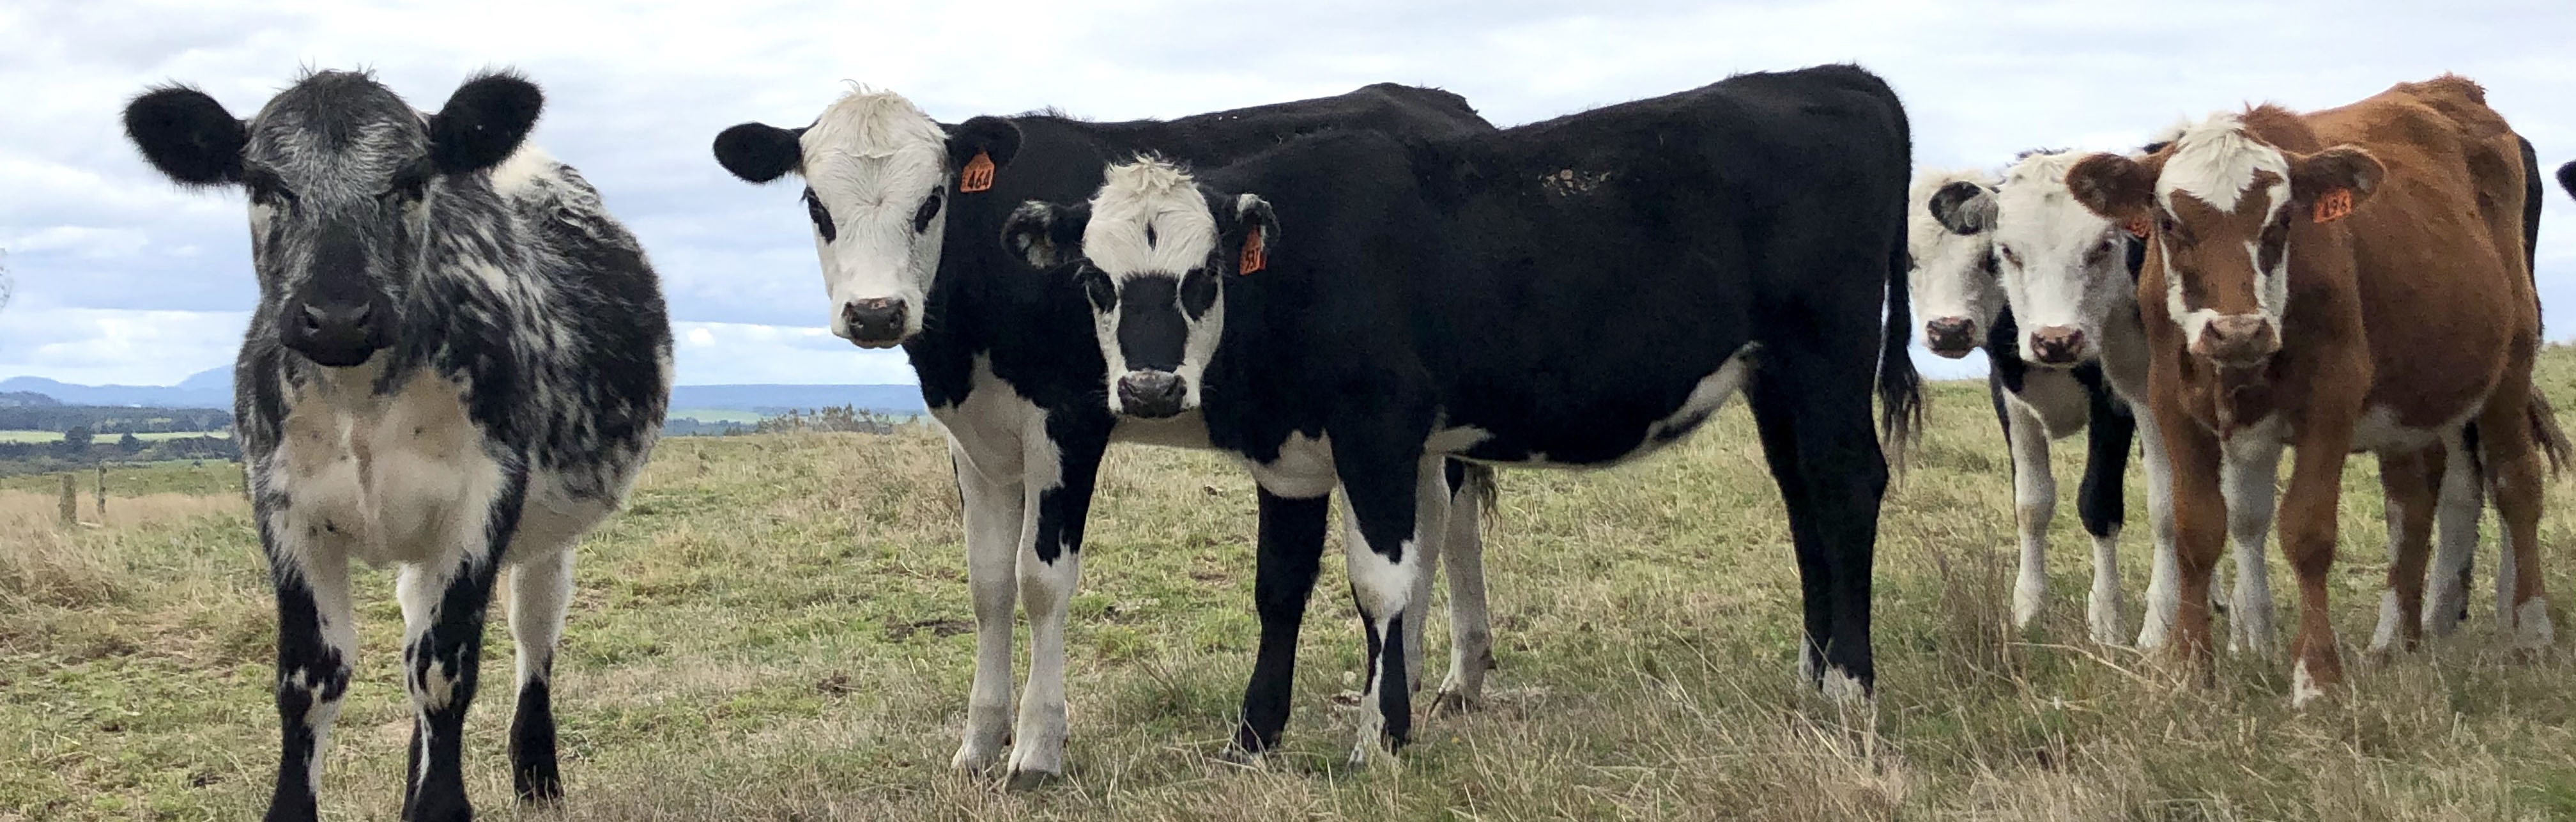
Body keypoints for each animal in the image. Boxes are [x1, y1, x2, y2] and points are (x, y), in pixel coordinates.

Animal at [121, 70, 671, 821]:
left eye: (410, 181)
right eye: (263, 184)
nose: (336, 316)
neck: (360, 401)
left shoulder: (480, 508)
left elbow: (443, 672)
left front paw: (439, 804)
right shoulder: (285, 511)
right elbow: (309, 679)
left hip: (545, 534)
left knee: (532, 631)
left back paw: (537, 775)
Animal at [708, 85, 1495, 787]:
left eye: (931, 200)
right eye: (818, 205)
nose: (875, 312)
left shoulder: (1069, 424)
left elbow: (1040, 581)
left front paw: (1035, 750)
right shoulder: (976, 445)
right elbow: (987, 585)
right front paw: (978, 744)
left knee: (1439, 521)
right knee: (1439, 517)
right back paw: (1432, 676)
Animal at [1004, 63, 1919, 763]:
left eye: (1203, 277)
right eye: (1096, 281)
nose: (1150, 389)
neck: (1311, 261)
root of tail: (1840, 78)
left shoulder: (1379, 429)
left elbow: (1380, 582)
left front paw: (1379, 740)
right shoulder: (1291, 455)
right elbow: (1278, 588)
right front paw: (1252, 738)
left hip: (1828, 354)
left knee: (1845, 486)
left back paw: (1850, 686)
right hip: (1779, 377)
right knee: (1803, 500)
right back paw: (1813, 675)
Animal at [2062, 76, 2554, 703]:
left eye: (2282, 222)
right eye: (2169, 223)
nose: (2238, 330)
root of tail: (2450, 88)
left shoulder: (2331, 402)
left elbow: (2308, 534)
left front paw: (2316, 677)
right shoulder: (2173, 404)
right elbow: (2196, 529)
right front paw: (2191, 666)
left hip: (2510, 367)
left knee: (2517, 483)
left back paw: (2532, 631)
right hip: (2411, 402)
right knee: (2411, 506)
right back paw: (2395, 639)